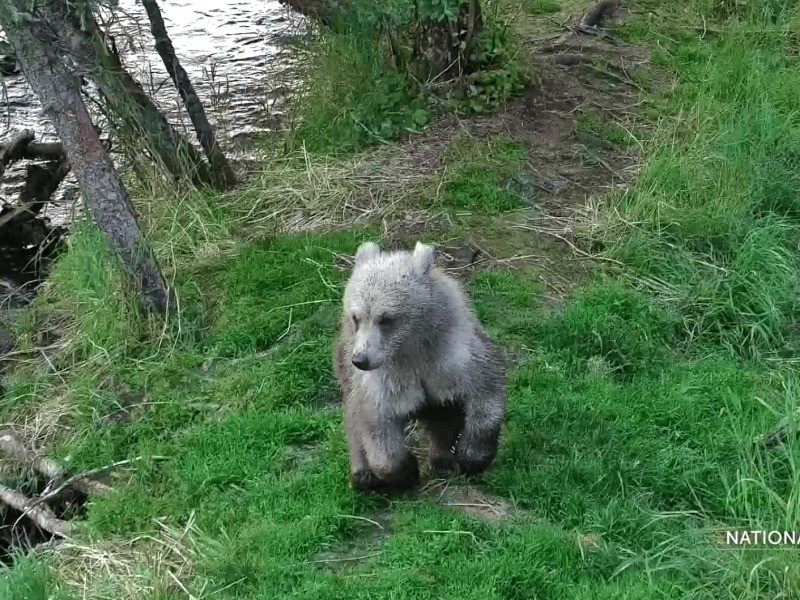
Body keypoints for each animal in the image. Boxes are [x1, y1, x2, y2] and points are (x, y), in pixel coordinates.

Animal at [333, 240, 506, 492]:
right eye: (356, 317)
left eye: (386, 318)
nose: (361, 360)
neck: (412, 352)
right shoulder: (382, 381)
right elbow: (376, 428)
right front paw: (406, 472)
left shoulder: (455, 358)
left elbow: (485, 394)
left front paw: (471, 457)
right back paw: (363, 476)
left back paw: (441, 458)